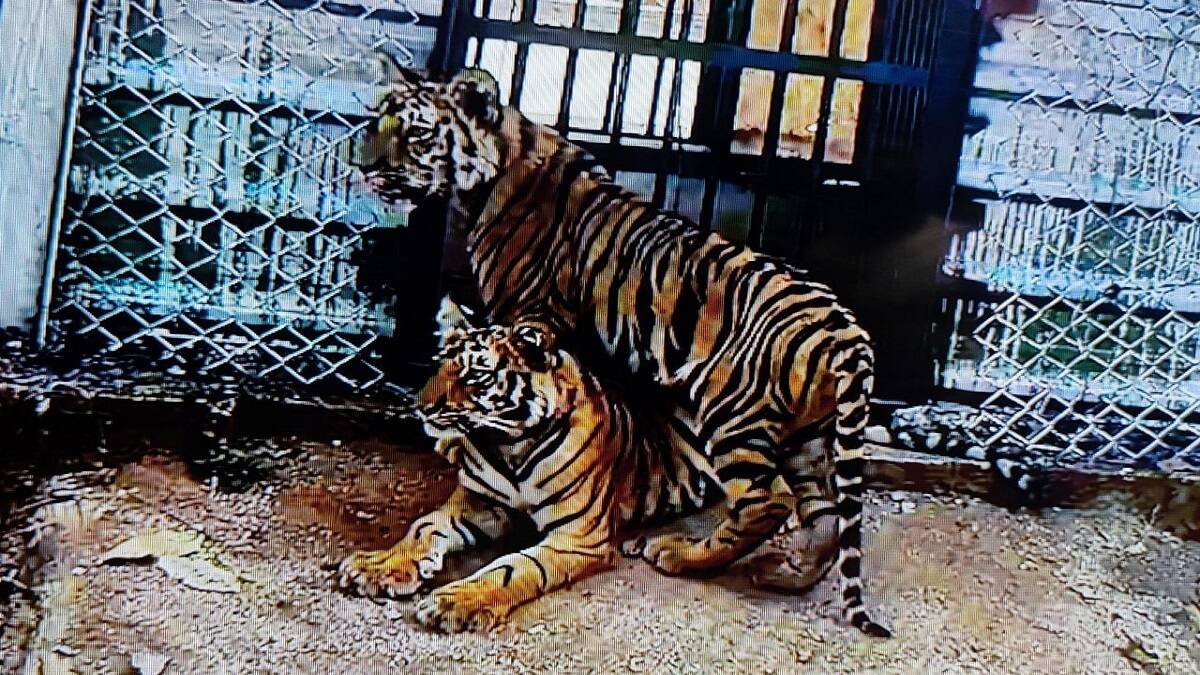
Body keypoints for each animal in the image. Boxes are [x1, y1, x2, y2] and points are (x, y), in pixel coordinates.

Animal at [337, 296, 716, 631]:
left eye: (475, 376)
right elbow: (423, 526)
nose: (420, 407)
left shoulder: (576, 537)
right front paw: (378, 566)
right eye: (438, 365)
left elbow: (513, 567)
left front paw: (456, 602)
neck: (510, 445)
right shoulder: (479, 499)